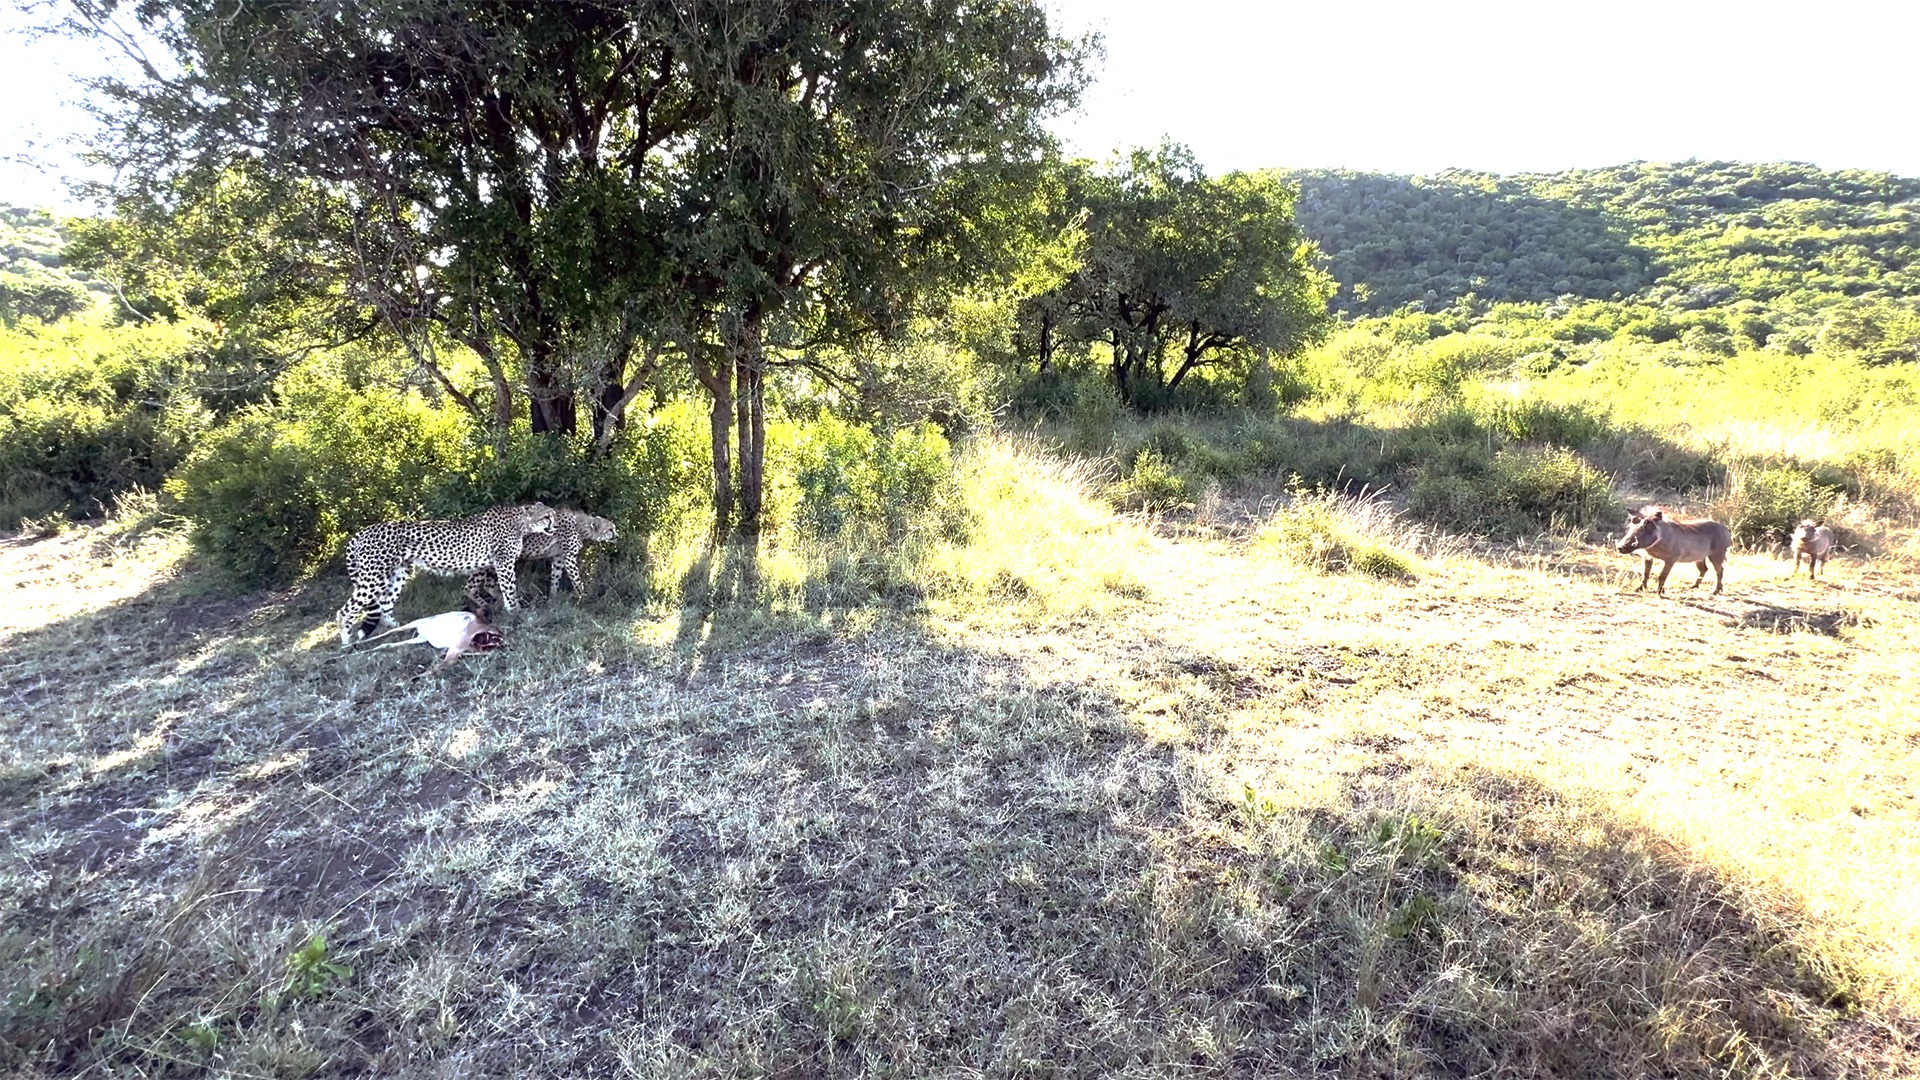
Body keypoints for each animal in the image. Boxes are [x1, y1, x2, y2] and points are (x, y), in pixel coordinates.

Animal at [336, 502, 554, 646]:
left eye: (552, 514)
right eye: (546, 516)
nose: (554, 524)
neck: (521, 521)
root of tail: (362, 532)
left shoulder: (488, 564)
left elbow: (490, 587)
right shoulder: (503, 562)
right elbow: (509, 589)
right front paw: (517, 612)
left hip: (398, 573)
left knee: (385, 605)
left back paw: (400, 629)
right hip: (373, 578)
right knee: (345, 611)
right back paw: (346, 641)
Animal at [462, 508, 617, 615]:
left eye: (614, 528)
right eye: (610, 530)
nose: (617, 535)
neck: (581, 526)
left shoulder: (559, 558)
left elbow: (555, 578)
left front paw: (553, 598)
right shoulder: (569, 558)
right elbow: (577, 581)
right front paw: (583, 598)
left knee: (484, 586)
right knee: (471, 587)